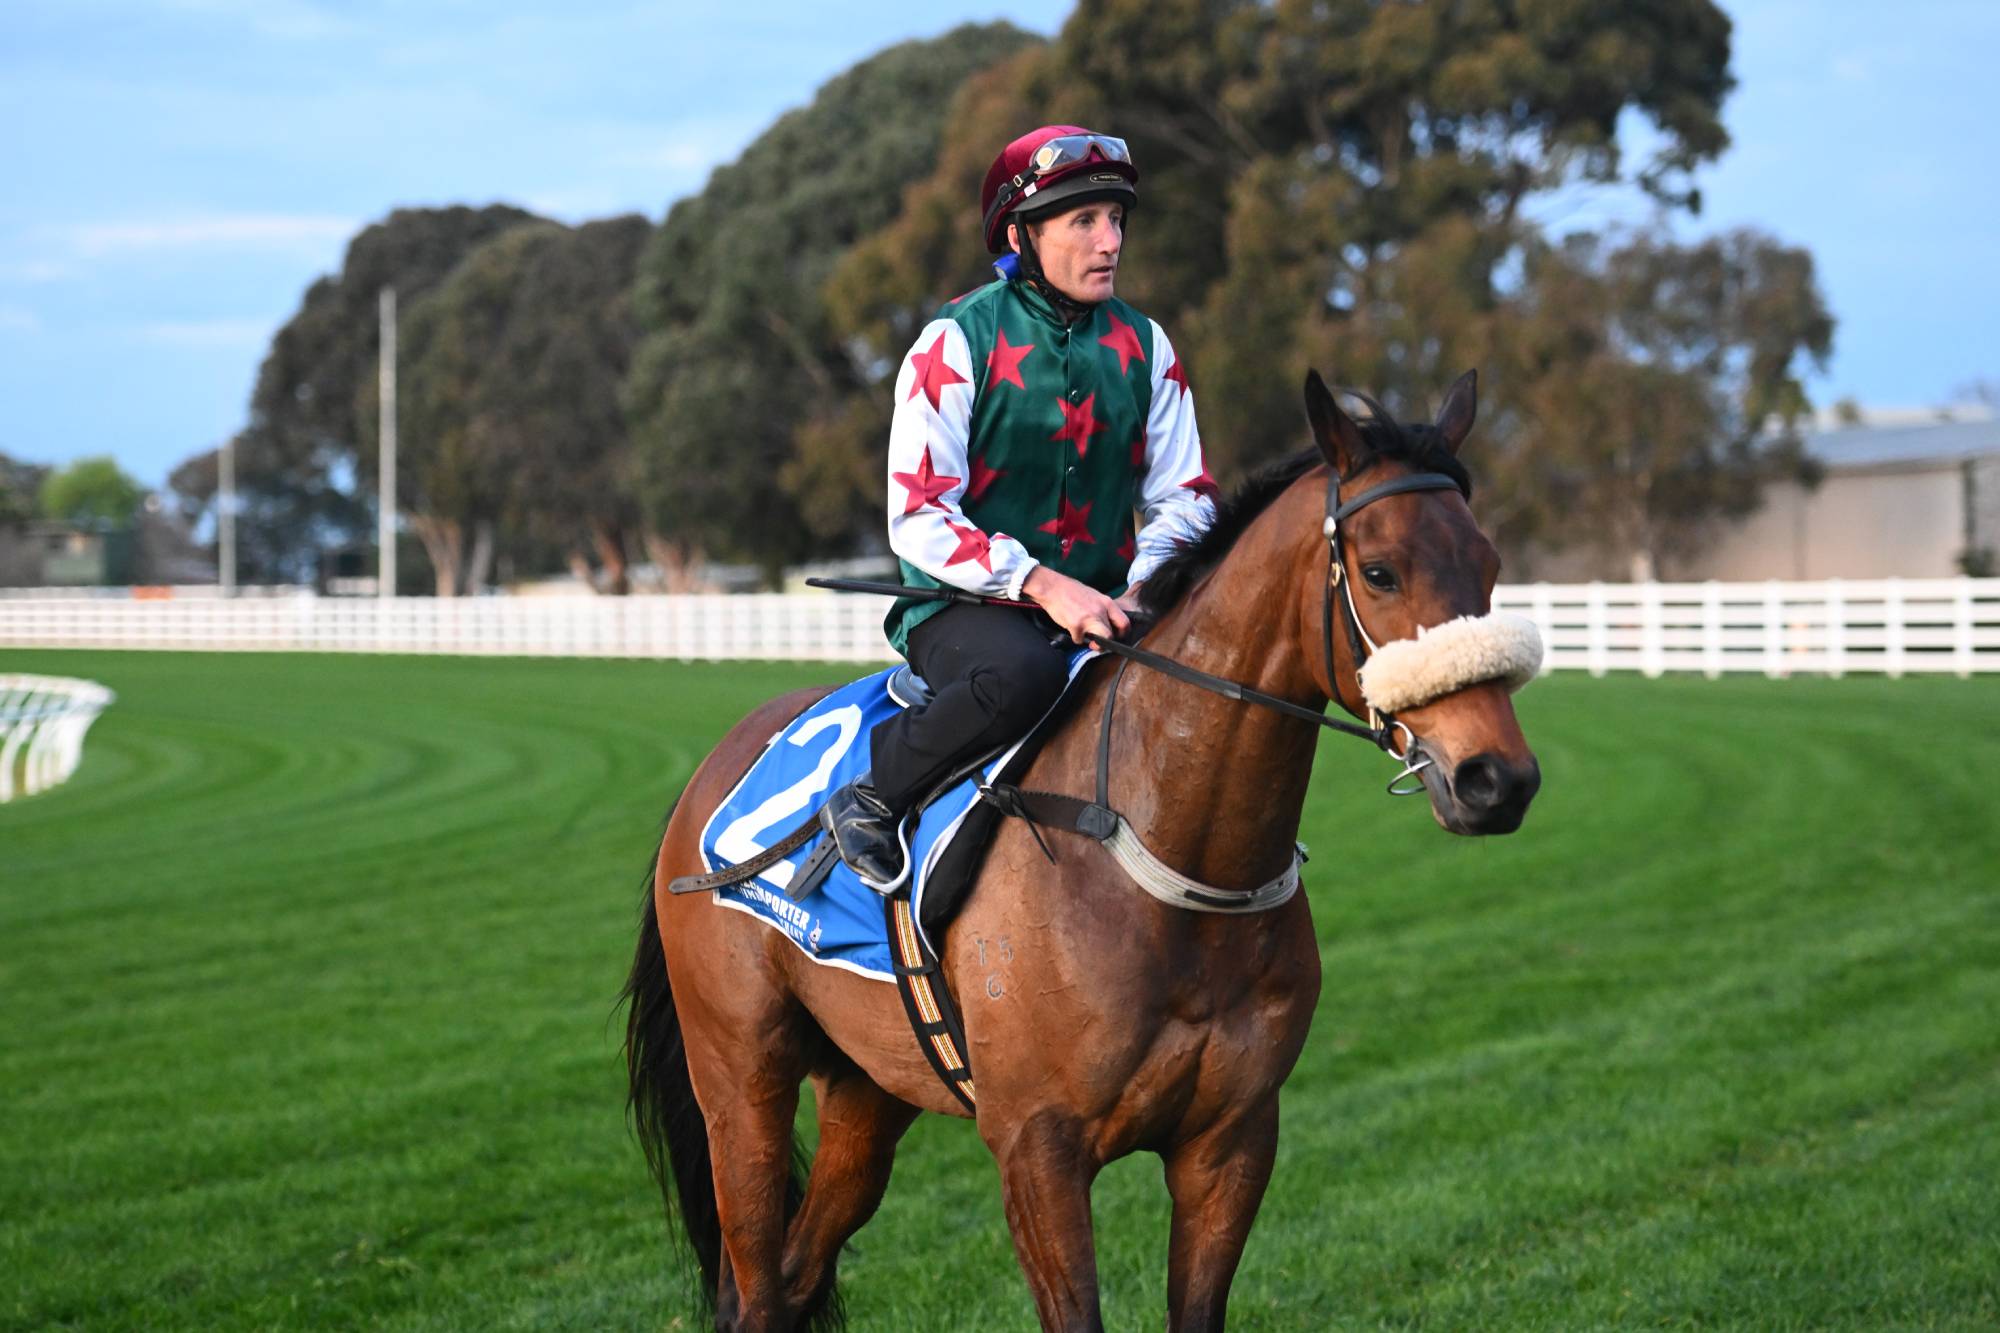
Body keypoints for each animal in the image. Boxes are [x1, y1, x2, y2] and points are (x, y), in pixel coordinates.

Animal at [623, 369, 1542, 1331]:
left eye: (1490, 566)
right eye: (1380, 570)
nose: (1497, 778)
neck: (1167, 861)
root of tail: (708, 773)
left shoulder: (1232, 1142)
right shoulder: (1038, 1148)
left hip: (868, 1091)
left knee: (794, 1274)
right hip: (740, 1079)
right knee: (757, 1280)